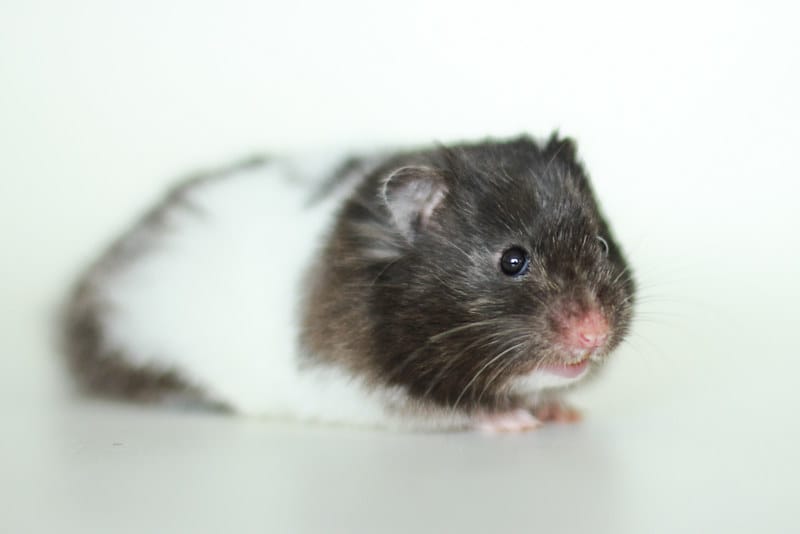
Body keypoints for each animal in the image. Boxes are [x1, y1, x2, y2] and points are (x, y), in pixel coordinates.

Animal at [62, 134, 635, 432]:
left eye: (602, 244)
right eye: (513, 261)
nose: (595, 333)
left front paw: (562, 411)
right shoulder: (364, 384)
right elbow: (451, 407)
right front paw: (514, 420)